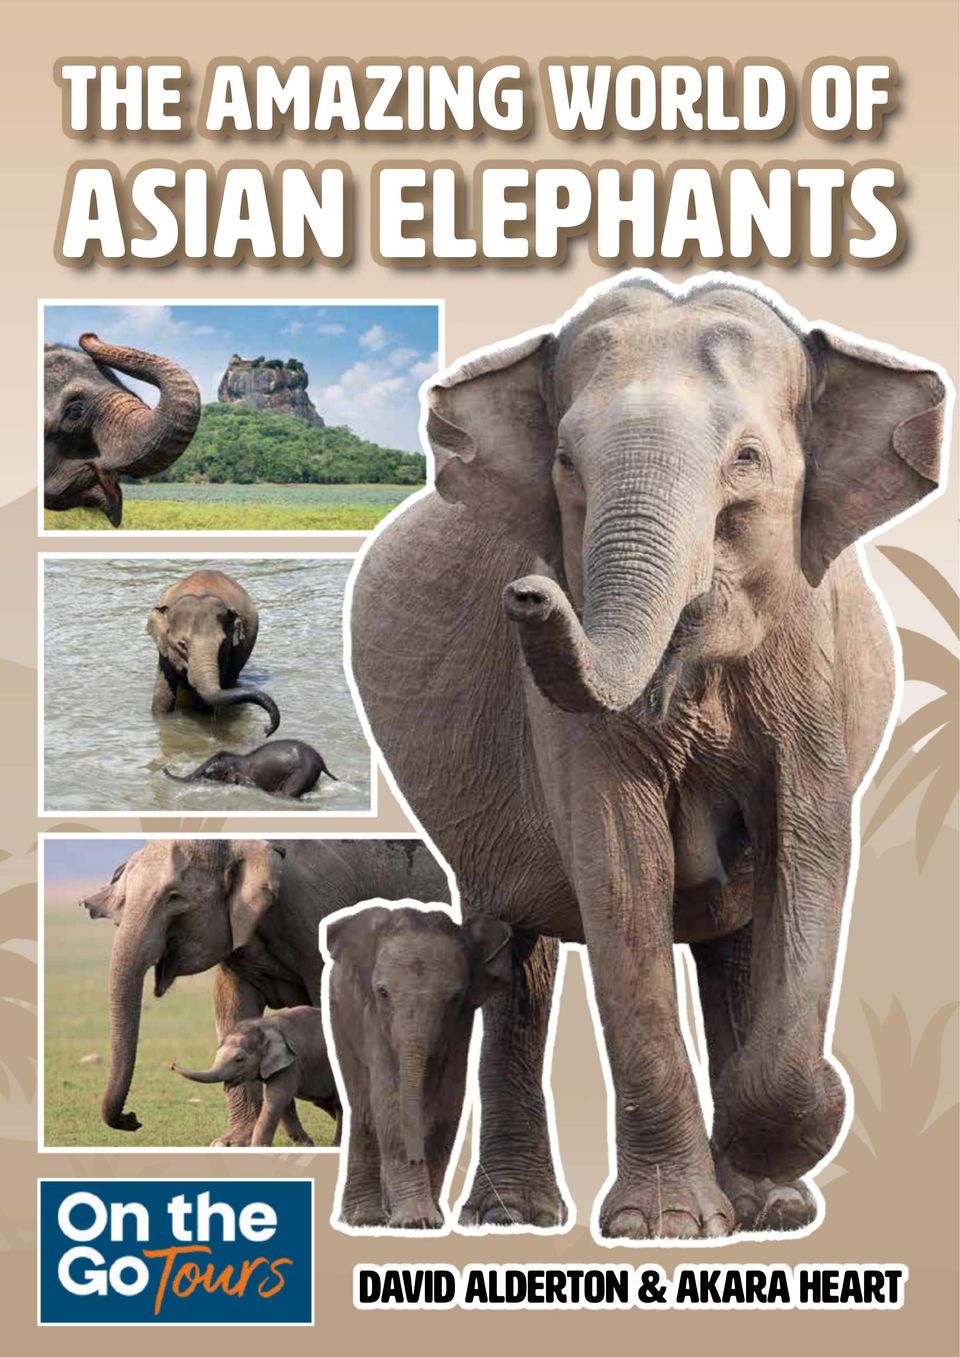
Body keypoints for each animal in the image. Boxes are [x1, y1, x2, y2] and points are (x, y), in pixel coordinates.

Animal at [148, 569, 280, 736]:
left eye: (222, 643)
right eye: (182, 645)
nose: (266, 729)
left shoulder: (226, 655)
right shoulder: (164, 651)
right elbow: (162, 698)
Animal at [172, 1006, 342, 1147]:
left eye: (239, 1059)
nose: (172, 1065)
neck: (265, 1025)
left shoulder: (292, 1064)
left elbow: (276, 1099)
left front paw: (258, 1148)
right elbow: (285, 1105)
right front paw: (305, 1146)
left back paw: (336, 1145)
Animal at [323, 904, 513, 1229]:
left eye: (455, 997)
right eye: (382, 993)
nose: (415, 1159)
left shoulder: (460, 1023)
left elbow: (449, 1100)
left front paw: (430, 1219)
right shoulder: (371, 1016)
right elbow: (391, 1098)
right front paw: (415, 1221)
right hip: (338, 1010)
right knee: (362, 1106)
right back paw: (365, 1219)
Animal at [350, 274, 947, 1240]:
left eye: (747, 458)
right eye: (564, 463)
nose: (528, 593)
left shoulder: (809, 662)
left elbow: (810, 851)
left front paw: (760, 1158)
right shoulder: (558, 715)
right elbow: (621, 864)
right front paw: (664, 1226)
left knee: (734, 936)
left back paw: (769, 1206)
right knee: (512, 951)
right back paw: (516, 1216)